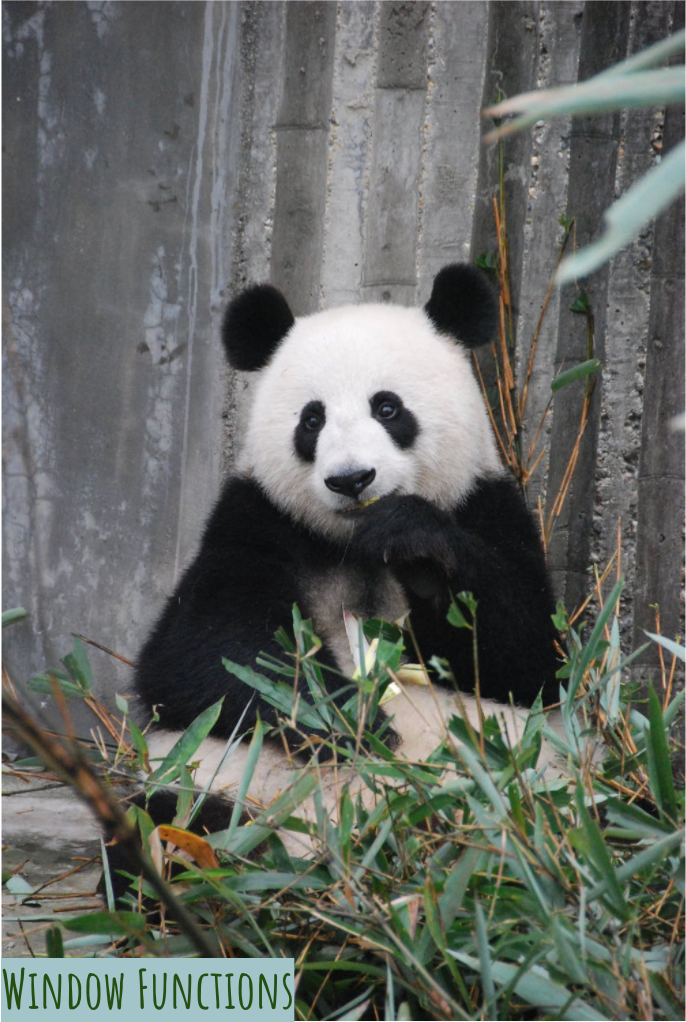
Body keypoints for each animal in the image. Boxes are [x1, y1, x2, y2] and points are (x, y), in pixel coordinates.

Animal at [130, 264, 562, 860]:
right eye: (312, 420)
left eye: (388, 407)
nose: (352, 479)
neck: (353, 542)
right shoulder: (255, 522)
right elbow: (200, 656)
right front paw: (353, 720)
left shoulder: (485, 505)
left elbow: (529, 658)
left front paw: (416, 546)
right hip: (207, 780)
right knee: (165, 823)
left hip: (528, 790)